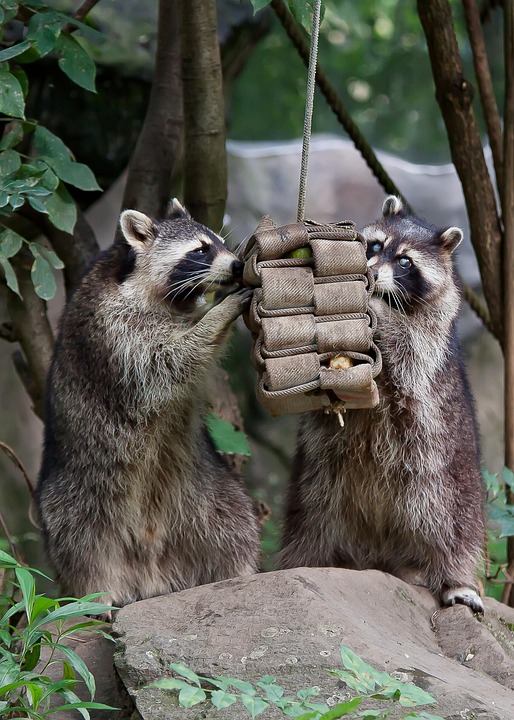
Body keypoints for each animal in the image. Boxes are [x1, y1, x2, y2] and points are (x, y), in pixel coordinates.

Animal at [35, 200, 260, 613]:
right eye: (201, 250)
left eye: (221, 242)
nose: (238, 266)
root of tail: (149, 574)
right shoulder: (115, 331)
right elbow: (168, 361)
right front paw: (220, 313)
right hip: (78, 492)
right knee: (82, 544)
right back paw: (95, 595)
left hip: (208, 487)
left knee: (234, 522)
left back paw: (237, 571)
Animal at [279, 196, 485, 613]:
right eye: (374, 245)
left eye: (405, 261)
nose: (371, 275)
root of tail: (381, 548)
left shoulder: (429, 339)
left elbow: (407, 350)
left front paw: (378, 313)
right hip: (320, 478)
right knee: (309, 518)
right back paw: (301, 561)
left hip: (447, 476)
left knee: (456, 527)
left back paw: (455, 576)